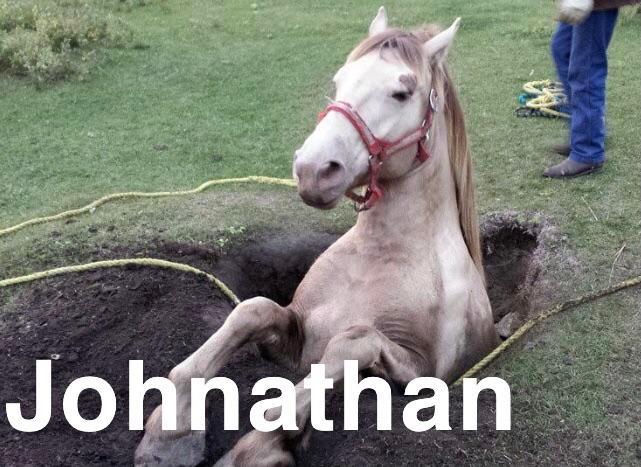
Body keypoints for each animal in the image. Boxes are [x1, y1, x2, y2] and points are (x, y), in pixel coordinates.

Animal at [135, 7, 498, 466]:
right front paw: (169, 432)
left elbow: (351, 345)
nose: (312, 169)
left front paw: (259, 447)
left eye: (402, 93)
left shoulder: (421, 377)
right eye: (339, 82)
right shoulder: (294, 339)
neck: (380, 258)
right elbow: (251, 311)